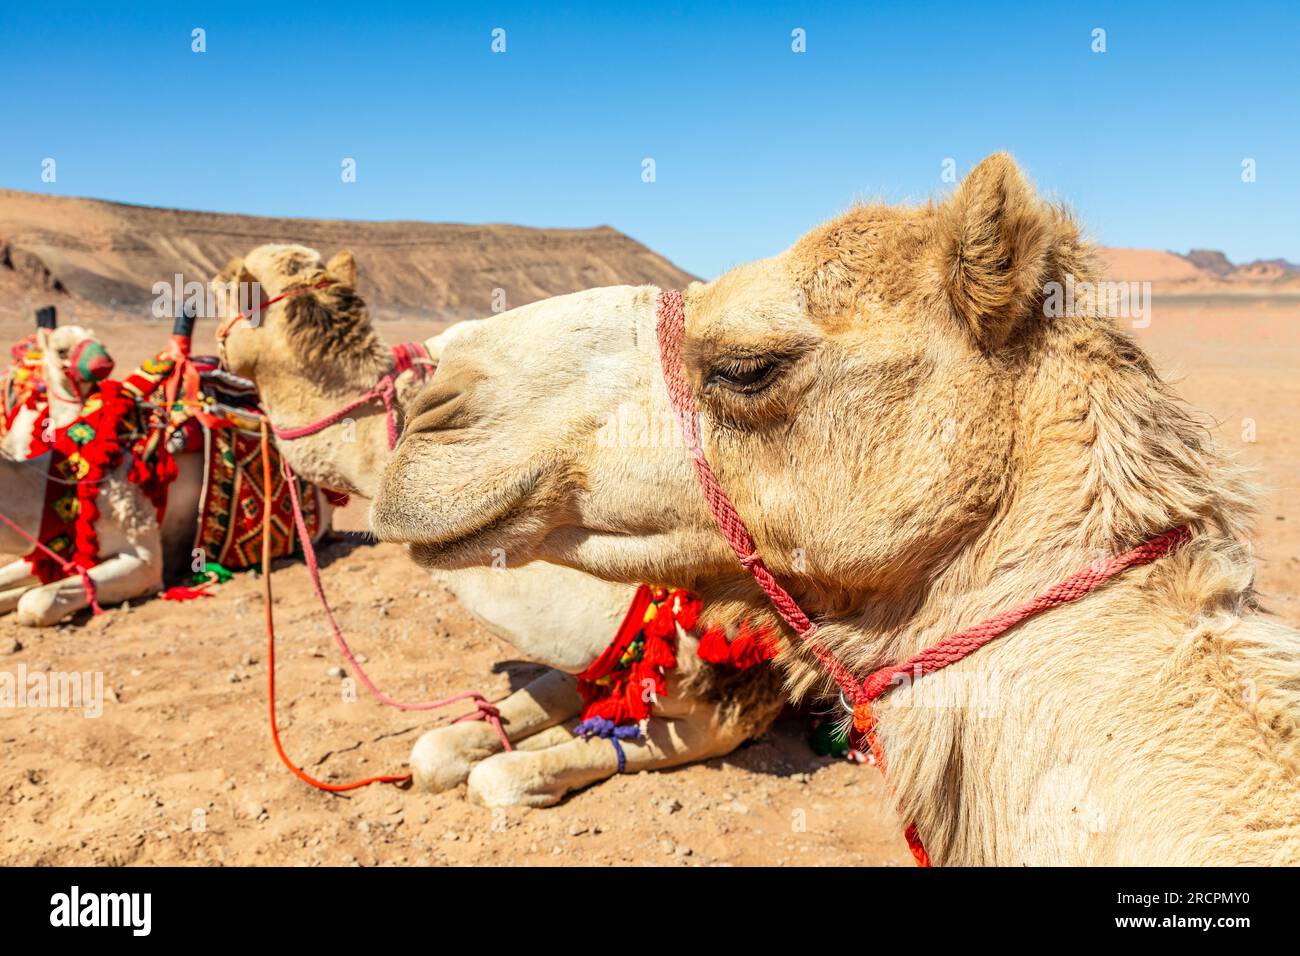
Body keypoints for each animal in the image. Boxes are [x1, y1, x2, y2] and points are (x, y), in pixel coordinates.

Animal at [211, 245, 785, 807]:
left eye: (226, 287)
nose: (430, 419)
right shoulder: (592, 663)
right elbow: (436, 749)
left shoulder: (727, 713)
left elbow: (502, 776)